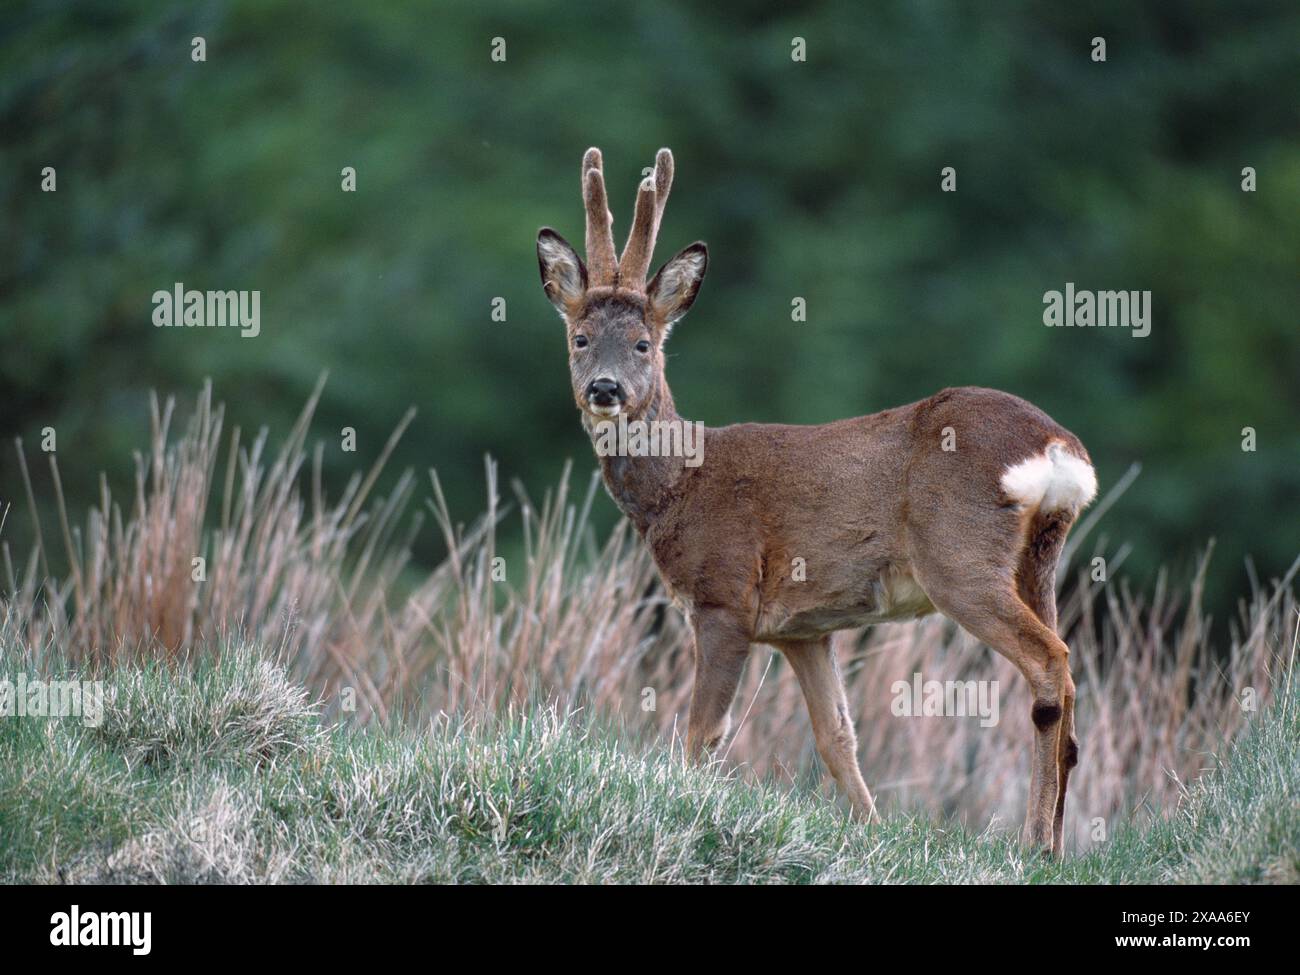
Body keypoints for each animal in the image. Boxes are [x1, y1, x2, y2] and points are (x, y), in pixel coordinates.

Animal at [535, 147, 1098, 856]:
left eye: (644, 343)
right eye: (579, 338)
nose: (605, 389)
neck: (679, 488)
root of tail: (1056, 446)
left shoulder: (725, 596)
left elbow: (702, 733)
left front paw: (685, 811)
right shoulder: (804, 630)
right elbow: (836, 738)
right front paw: (871, 832)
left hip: (959, 557)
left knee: (1049, 662)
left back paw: (1036, 841)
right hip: (1040, 557)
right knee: (1067, 678)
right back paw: (1057, 837)